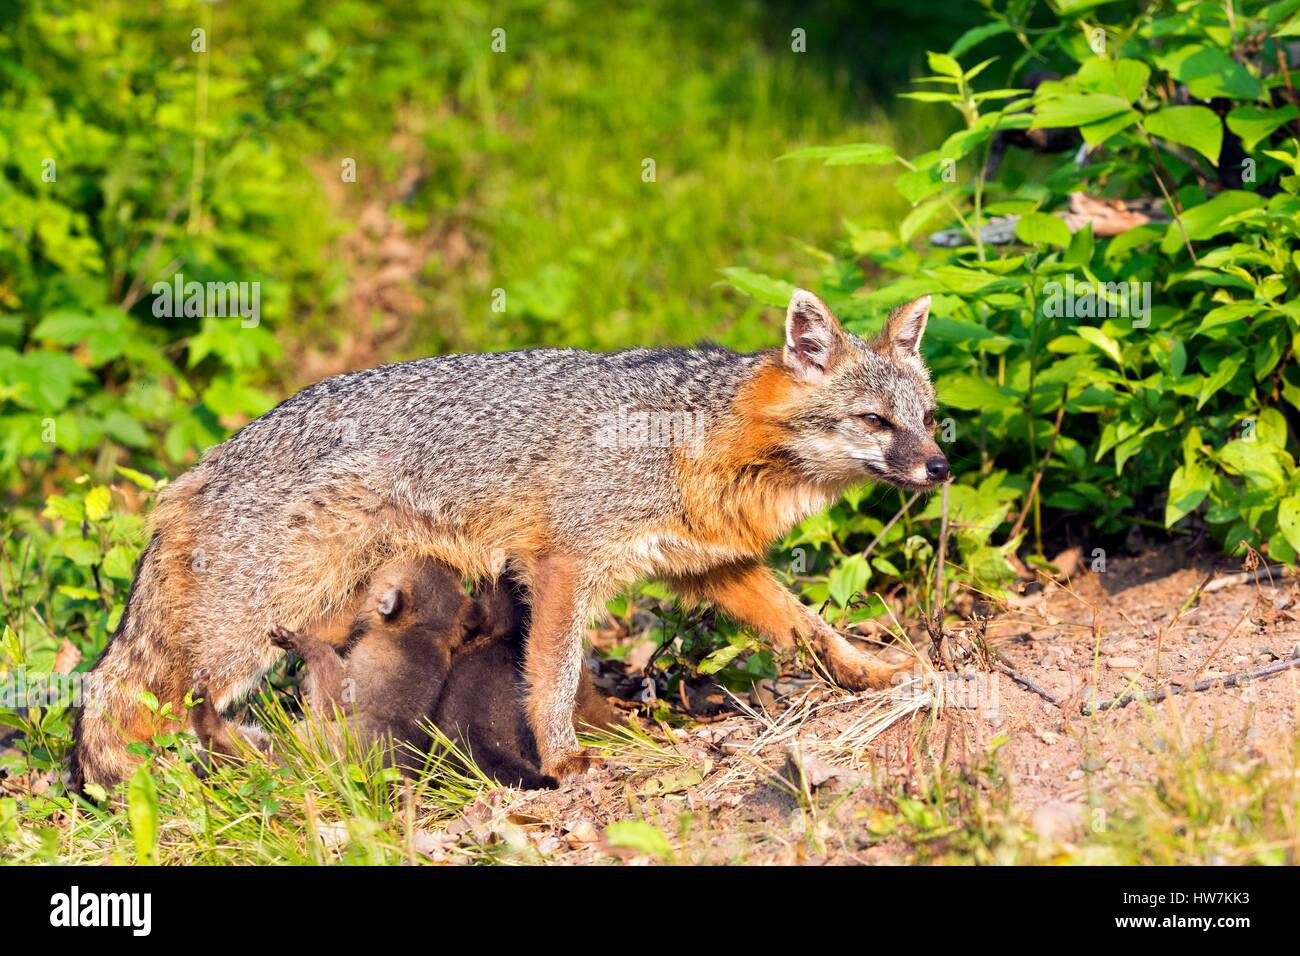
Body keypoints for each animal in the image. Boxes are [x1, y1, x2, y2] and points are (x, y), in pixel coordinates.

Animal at [70, 288, 946, 789]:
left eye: (928, 417)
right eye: (874, 420)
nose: (941, 466)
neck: (705, 440)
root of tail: (205, 463)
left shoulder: (713, 567)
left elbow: (810, 627)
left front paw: (872, 672)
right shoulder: (563, 562)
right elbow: (552, 675)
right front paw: (561, 758)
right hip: (249, 631)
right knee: (140, 700)